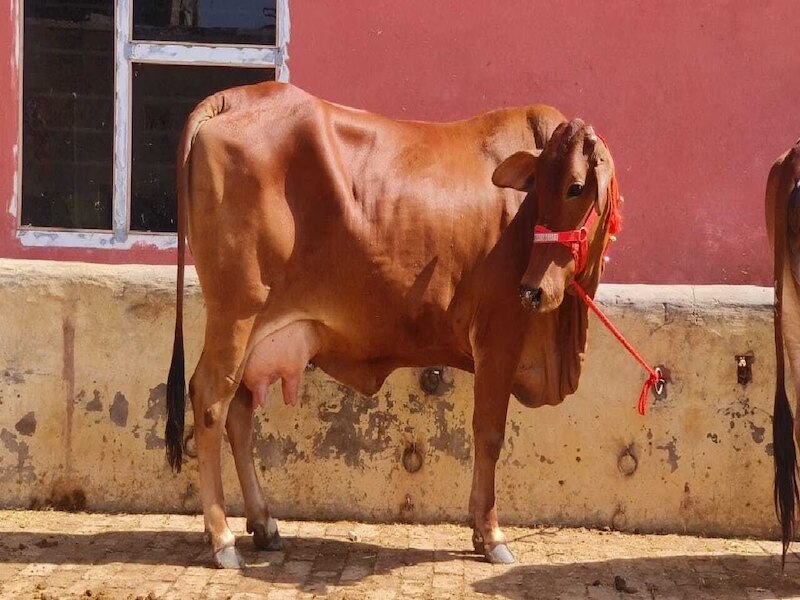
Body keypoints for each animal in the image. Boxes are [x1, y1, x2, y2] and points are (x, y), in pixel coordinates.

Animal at [165, 82, 621, 568]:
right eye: (553, 187)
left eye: (575, 187)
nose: (533, 291)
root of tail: (237, 97)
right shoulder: (499, 334)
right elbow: (489, 435)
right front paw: (491, 534)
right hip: (237, 315)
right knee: (211, 401)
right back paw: (222, 538)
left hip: (257, 336)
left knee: (239, 414)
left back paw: (264, 524)